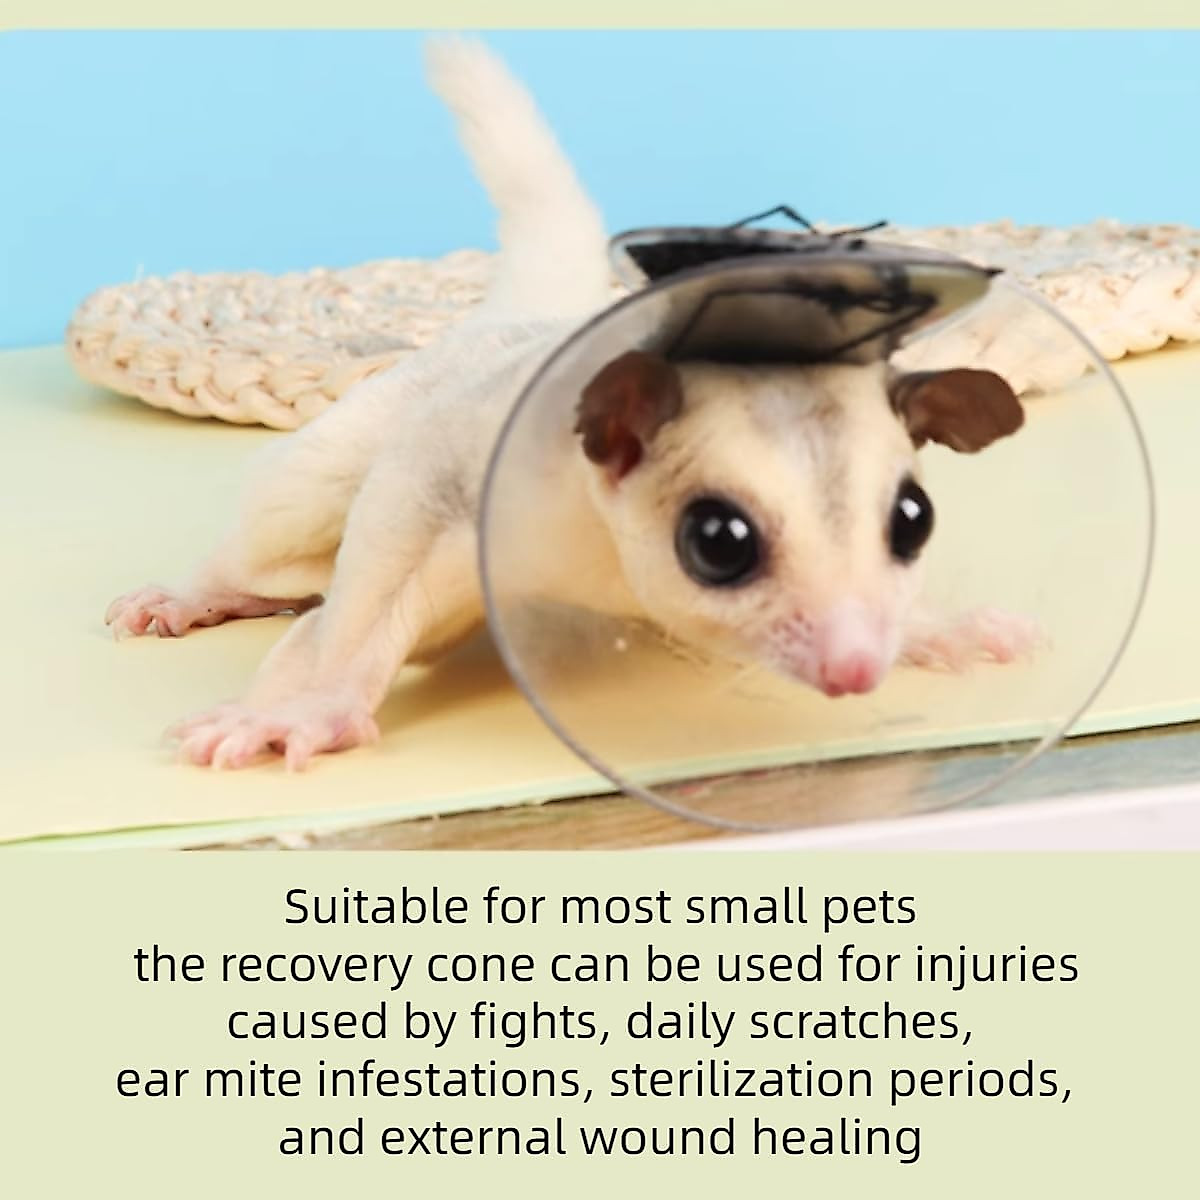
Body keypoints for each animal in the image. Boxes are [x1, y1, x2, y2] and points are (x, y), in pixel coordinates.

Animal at [105, 38, 1033, 770]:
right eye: (719, 541)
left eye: (912, 521)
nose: (856, 667)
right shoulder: (472, 480)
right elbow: (375, 572)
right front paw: (306, 708)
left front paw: (935, 629)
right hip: (354, 439)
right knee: (286, 528)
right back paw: (197, 594)